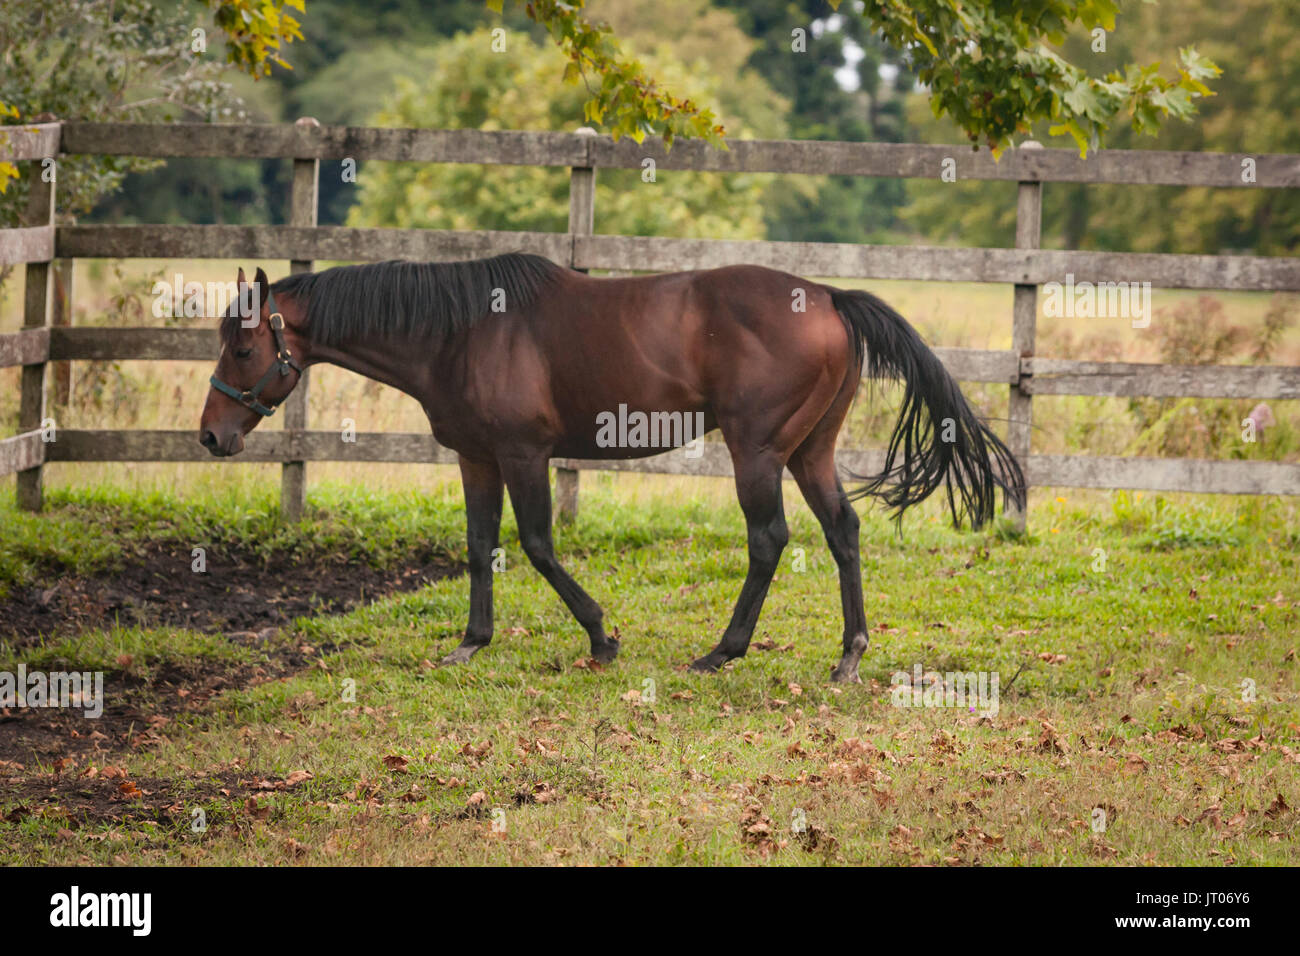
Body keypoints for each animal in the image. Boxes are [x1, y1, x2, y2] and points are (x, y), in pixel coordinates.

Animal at [199, 254, 1025, 682]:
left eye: (241, 348)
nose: (211, 436)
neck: (459, 331)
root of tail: (826, 296)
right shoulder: (477, 456)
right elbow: (478, 546)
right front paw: (471, 641)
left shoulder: (524, 453)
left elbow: (536, 546)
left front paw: (601, 639)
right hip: (809, 451)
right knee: (843, 531)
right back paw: (848, 655)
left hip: (758, 452)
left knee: (769, 541)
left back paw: (721, 652)